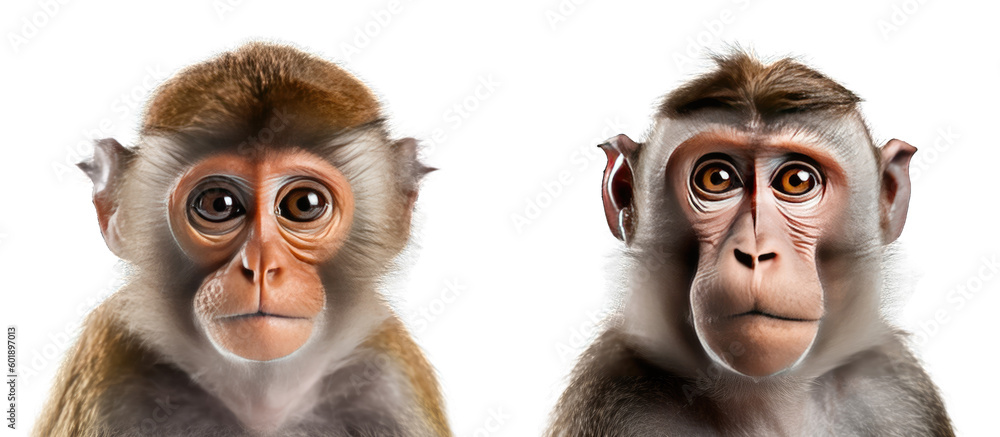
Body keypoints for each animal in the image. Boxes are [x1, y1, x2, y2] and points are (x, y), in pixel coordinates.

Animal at [35, 42, 451, 437]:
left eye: (304, 203)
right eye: (218, 203)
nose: (262, 265)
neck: (263, 408)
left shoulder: (390, 379)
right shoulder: (107, 366)